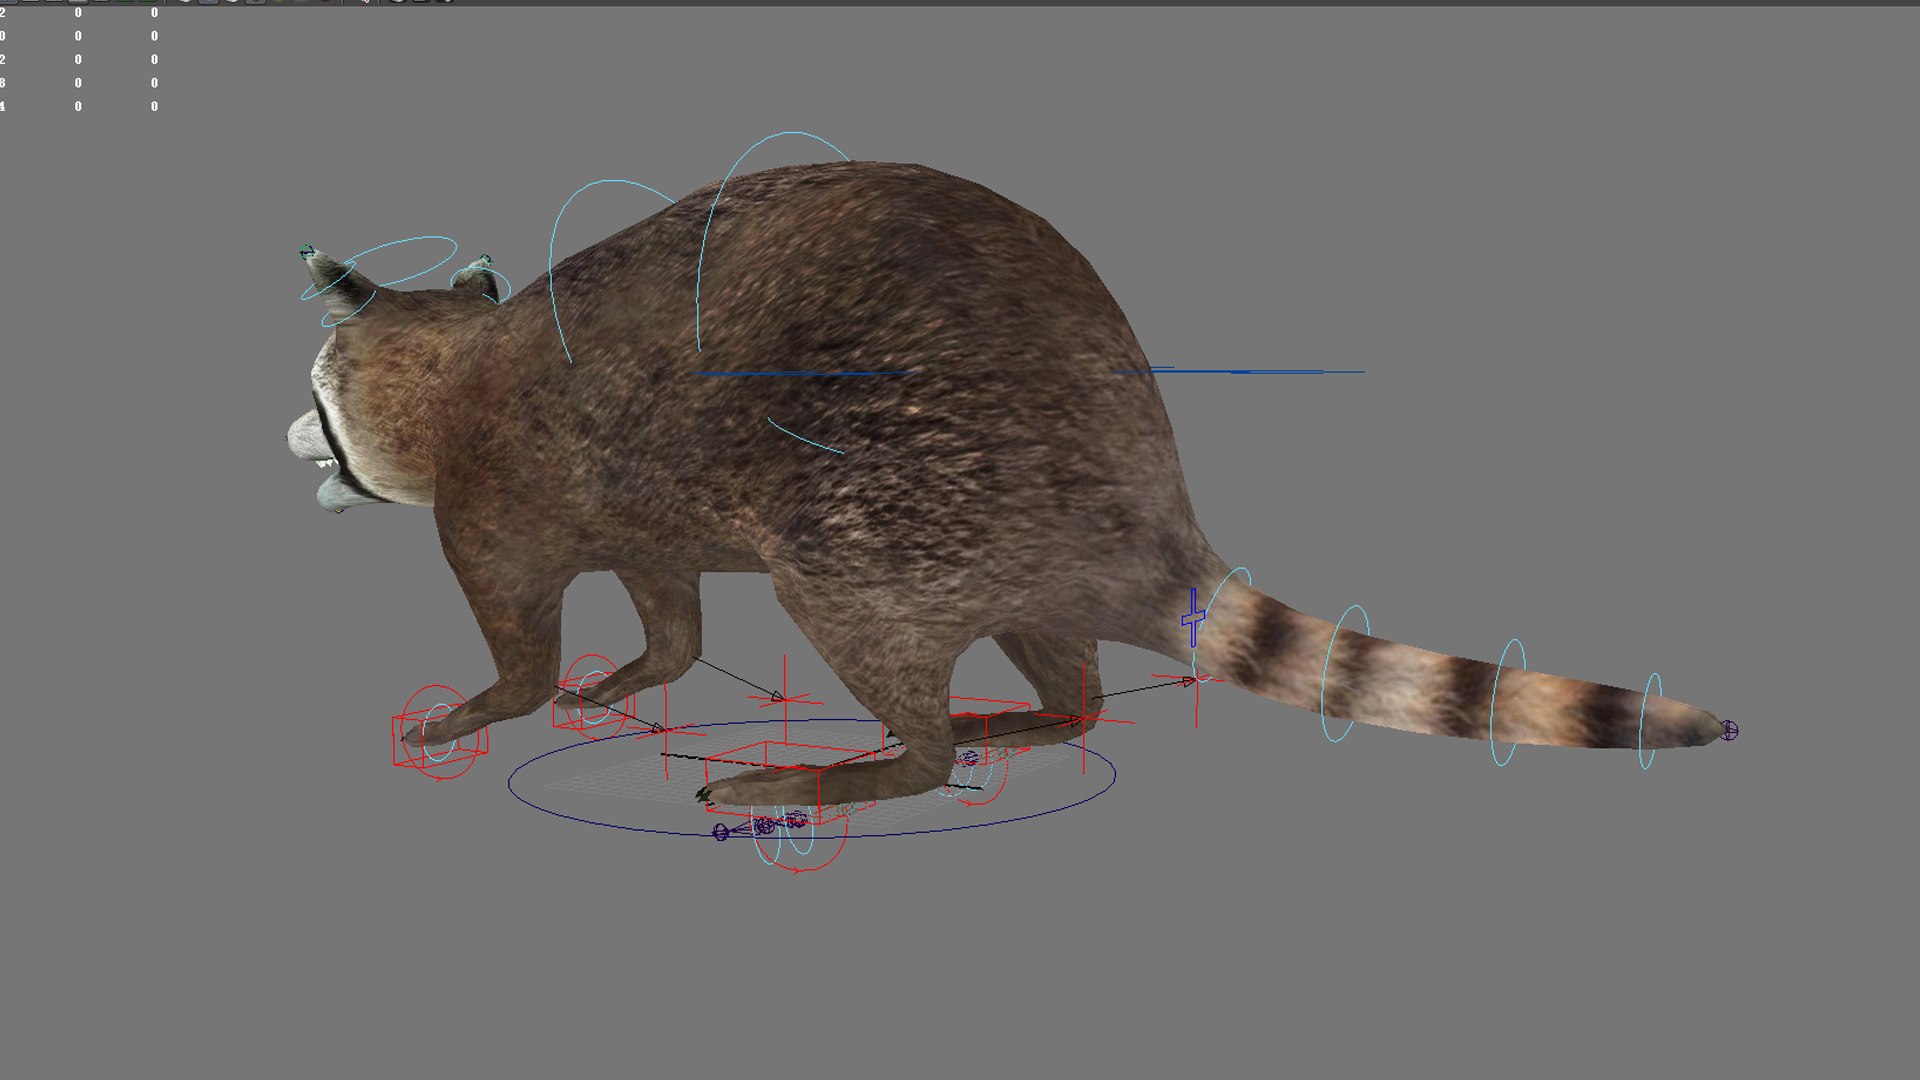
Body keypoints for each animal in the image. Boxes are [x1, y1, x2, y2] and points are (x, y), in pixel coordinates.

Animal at [284, 160, 1724, 808]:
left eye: (321, 390)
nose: (298, 442)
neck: (452, 362)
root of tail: (1147, 507)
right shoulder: (626, 506)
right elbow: (669, 608)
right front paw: (642, 671)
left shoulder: (495, 492)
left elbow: (519, 630)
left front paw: (491, 701)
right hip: (996, 530)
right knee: (1058, 658)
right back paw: (1040, 713)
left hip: (897, 499)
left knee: (871, 633)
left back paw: (878, 763)